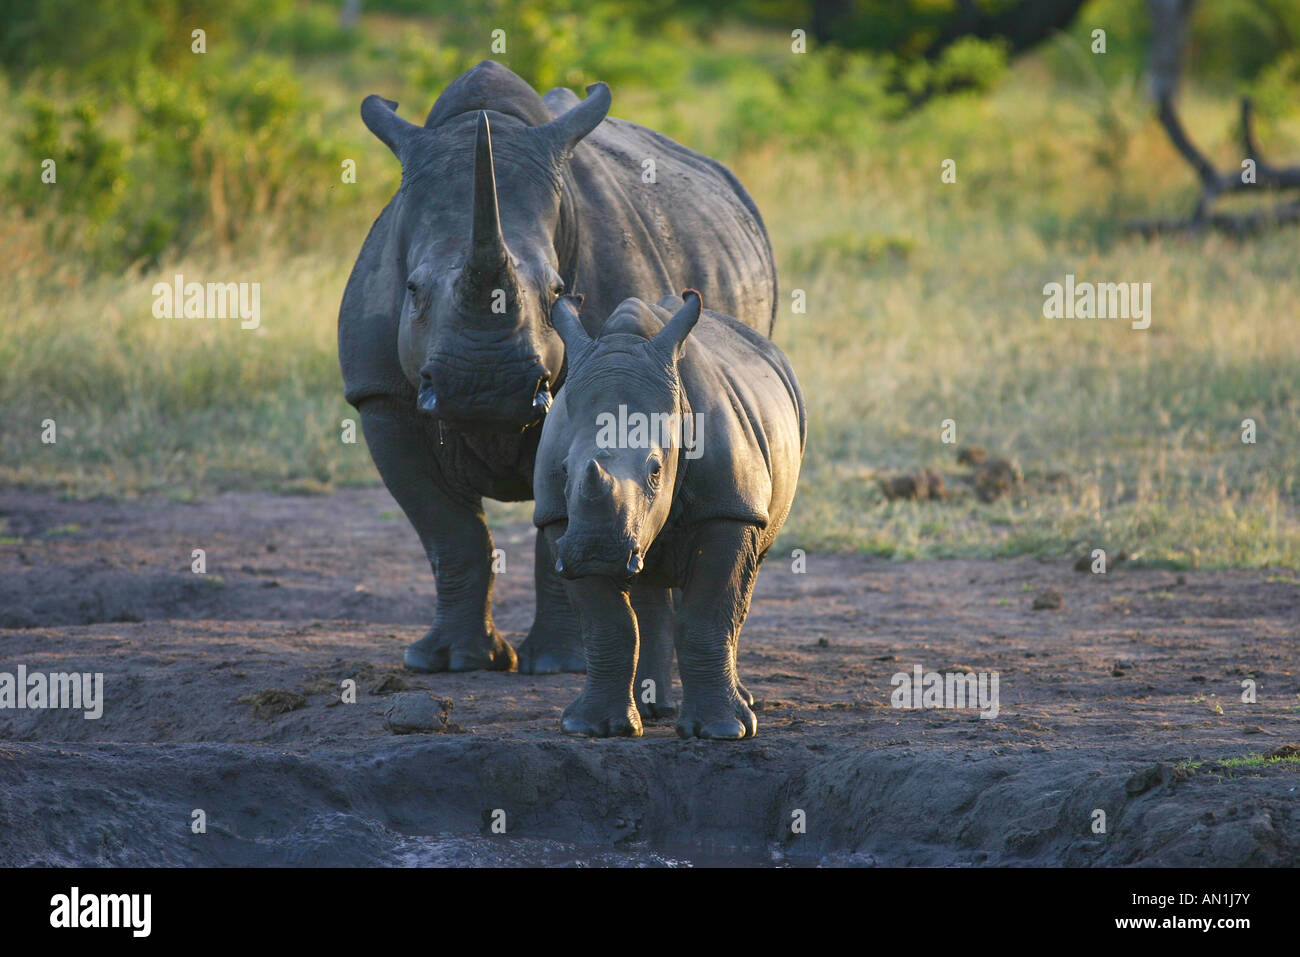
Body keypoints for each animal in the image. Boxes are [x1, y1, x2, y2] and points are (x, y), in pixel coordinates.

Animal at [338, 62, 777, 716]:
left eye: (556, 293)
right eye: (412, 290)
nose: (486, 383)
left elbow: (556, 526)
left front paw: (556, 664)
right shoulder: (381, 397)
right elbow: (448, 530)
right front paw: (448, 663)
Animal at [534, 291, 806, 739]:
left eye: (656, 471)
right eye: (564, 470)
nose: (597, 551)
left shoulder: (729, 509)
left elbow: (707, 616)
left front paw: (722, 731)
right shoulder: (559, 520)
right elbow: (608, 624)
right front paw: (592, 727)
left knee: (746, 582)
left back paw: (742, 705)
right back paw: (651, 707)